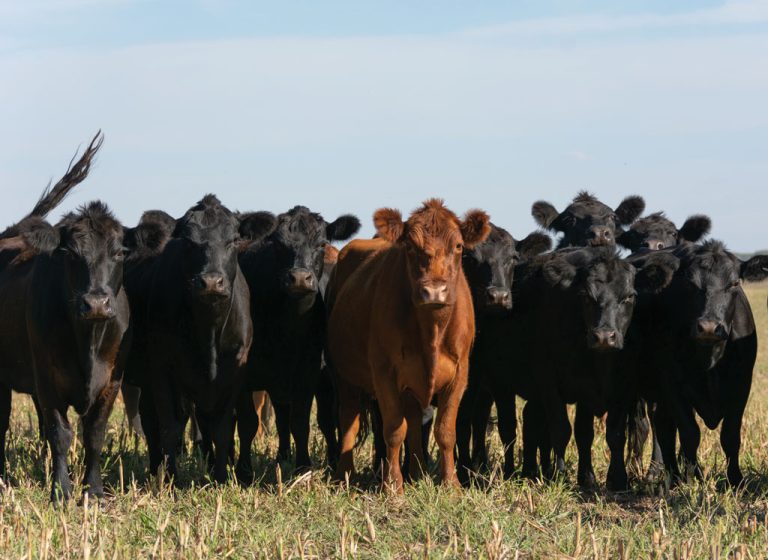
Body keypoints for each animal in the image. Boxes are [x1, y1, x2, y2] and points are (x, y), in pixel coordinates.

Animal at [124, 195, 275, 483]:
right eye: (188, 242)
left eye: (233, 240)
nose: (211, 282)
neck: (209, 332)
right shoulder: (163, 368)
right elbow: (170, 425)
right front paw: (171, 479)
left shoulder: (234, 371)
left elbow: (223, 427)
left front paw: (221, 477)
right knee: (151, 422)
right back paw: (155, 469)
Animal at [235, 206, 359, 481]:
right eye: (279, 245)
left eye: (321, 243)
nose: (300, 278)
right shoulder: (243, 375)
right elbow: (248, 423)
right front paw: (244, 471)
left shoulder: (308, 371)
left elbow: (301, 422)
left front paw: (303, 468)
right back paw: (282, 456)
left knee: (321, 420)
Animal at [326, 199, 491, 492]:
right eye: (410, 247)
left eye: (458, 246)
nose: (434, 291)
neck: (431, 332)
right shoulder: (384, 374)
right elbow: (393, 430)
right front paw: (393, 487)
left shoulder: (460, 374)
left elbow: (445, 431)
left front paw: (451, 486)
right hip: (345, 377)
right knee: (349, 422)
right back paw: (343, 476)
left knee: (414, 423)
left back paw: (417, 474)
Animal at [455, 225, 551, 483]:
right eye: (470, 258)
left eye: (513, 258)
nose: (498, 296)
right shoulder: (498, 381)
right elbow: (507, 426)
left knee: (478, 421)